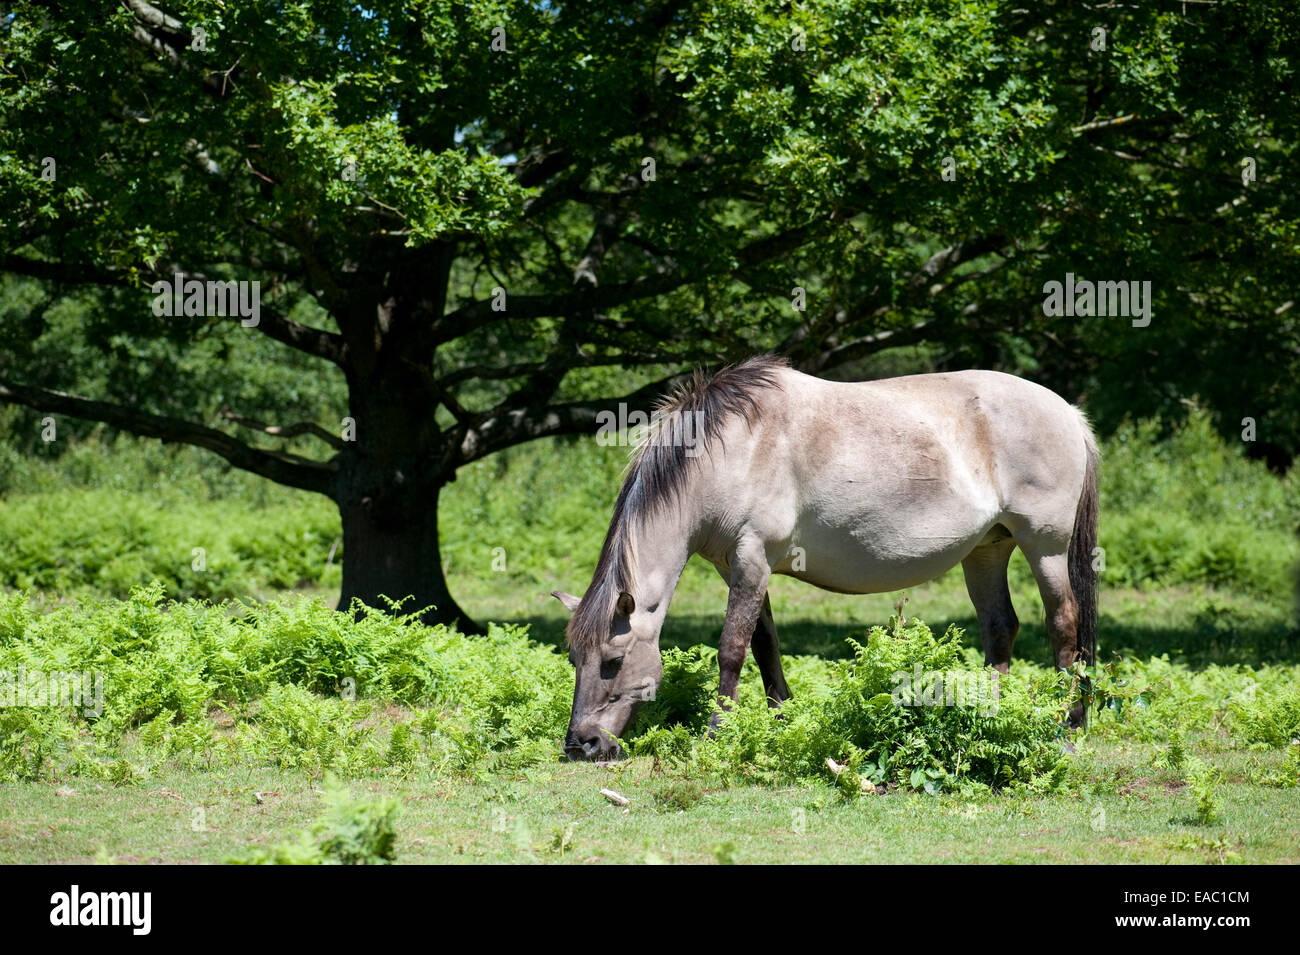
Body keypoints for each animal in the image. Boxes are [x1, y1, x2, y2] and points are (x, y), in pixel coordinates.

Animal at [551, 355, 1099, 760]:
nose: (581, 745)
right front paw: (780, 721)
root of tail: (1069, 414)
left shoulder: (752, 559)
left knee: (1063, 625)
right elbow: (765, 645)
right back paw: (992, 717)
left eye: (613, 661)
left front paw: (716, 733)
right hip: (988, 550)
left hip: (1045, 546)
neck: (732, 448)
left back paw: (1067, 725)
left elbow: (732, 648)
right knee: (1000, 628)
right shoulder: (739, 566)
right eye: (574, 656)